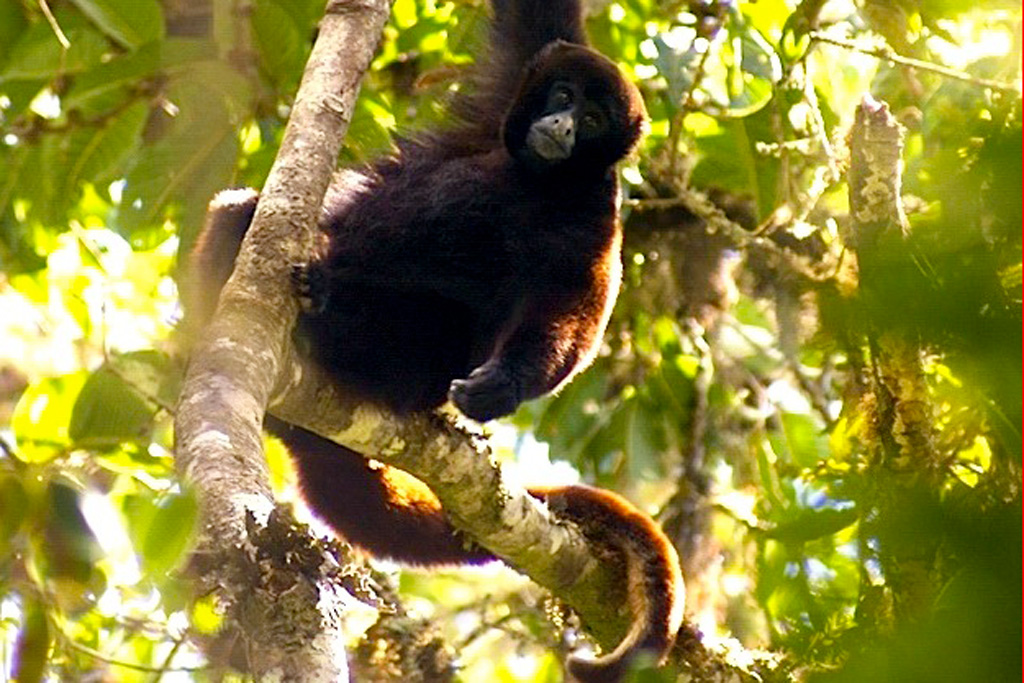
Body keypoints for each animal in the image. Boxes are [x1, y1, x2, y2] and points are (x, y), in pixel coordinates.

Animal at [184, 0, 684, 678]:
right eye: (562, 95)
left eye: (593, 120)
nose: (561, 123)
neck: (542, 180)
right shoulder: (507, 98)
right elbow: (536, 17)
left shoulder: (594, 212)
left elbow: (576, 313)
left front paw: (505, 385)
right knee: (240, 209)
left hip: (408, 356)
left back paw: (324, 310)